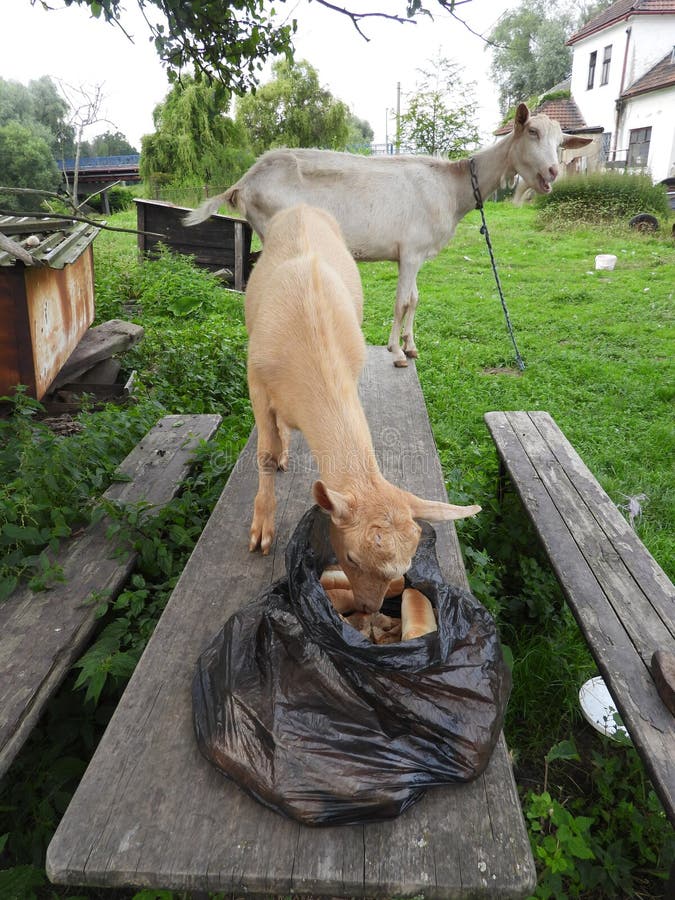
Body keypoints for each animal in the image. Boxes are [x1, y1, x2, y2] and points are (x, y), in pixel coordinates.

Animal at [186, 103, 592, 366]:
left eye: (561, 143)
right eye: (532, 131)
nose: (553, 172)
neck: (452, 186)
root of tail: (245, 181)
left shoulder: (416, 255)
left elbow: (415, 299)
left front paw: (411, 347)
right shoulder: (410, 252)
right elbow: (401, 301)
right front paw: (396, 352)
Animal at [245, 204, 480, 613]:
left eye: (407, 565)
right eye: (352, 558)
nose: (370, 608)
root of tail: (302, 206)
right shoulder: (256, 379)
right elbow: (264, 452)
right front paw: (262, 528)